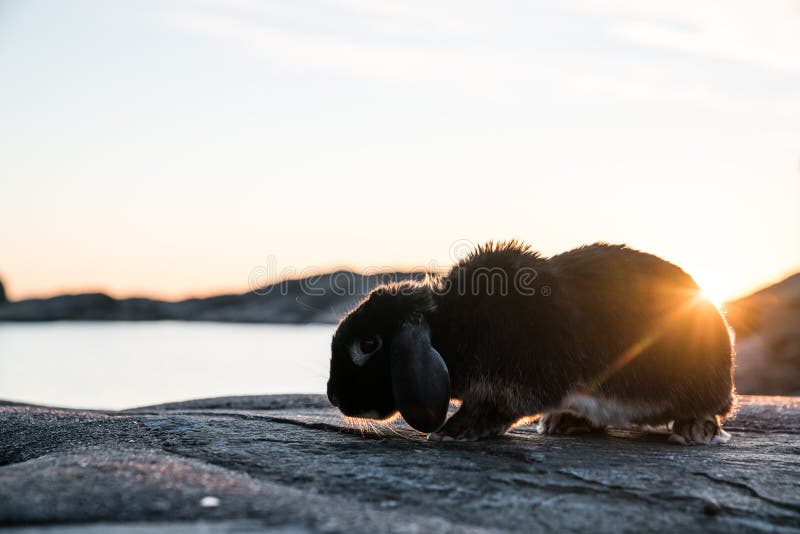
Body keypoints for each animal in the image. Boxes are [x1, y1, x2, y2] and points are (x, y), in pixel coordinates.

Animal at [327, 241, 735, 445]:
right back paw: (565, 422)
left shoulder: (521, 375)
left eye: (369, 344)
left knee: (711, 409)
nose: (331, 395)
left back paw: (697, 431)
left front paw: (455, 431)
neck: (454, 325)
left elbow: (497, 408)